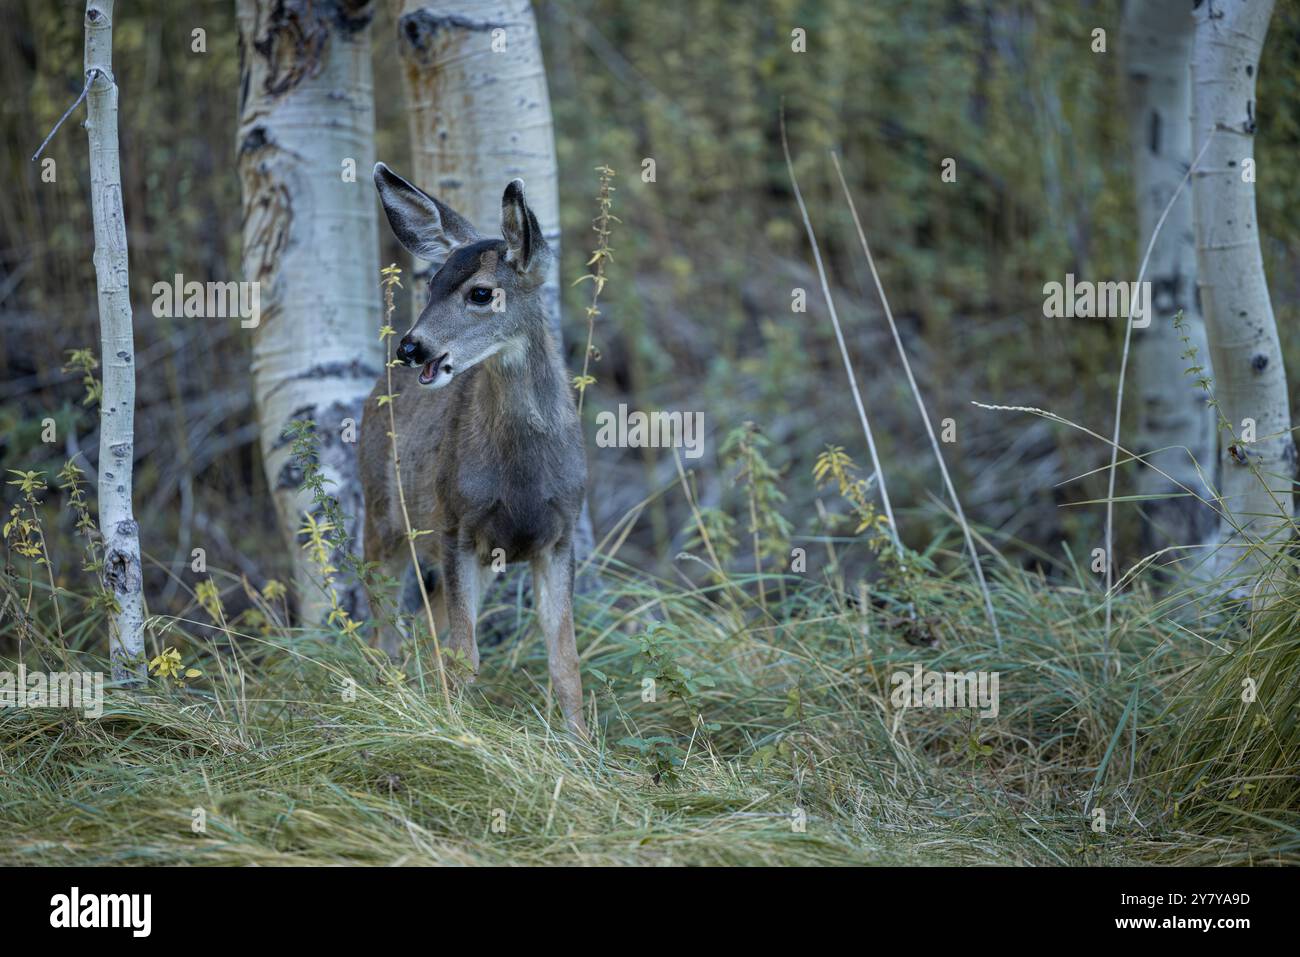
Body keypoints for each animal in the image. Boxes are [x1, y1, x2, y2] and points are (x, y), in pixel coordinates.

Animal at [360, 163, 589, 738]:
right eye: (432, 283)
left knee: (423, 626)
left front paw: (582, 748)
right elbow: (463, 656)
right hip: (383, 514)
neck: (522, 477)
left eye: (481, 293)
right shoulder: (455, 525)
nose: (411, 346)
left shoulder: (560, 535)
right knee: (385, 630)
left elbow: (565, 662)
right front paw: (456, 735)